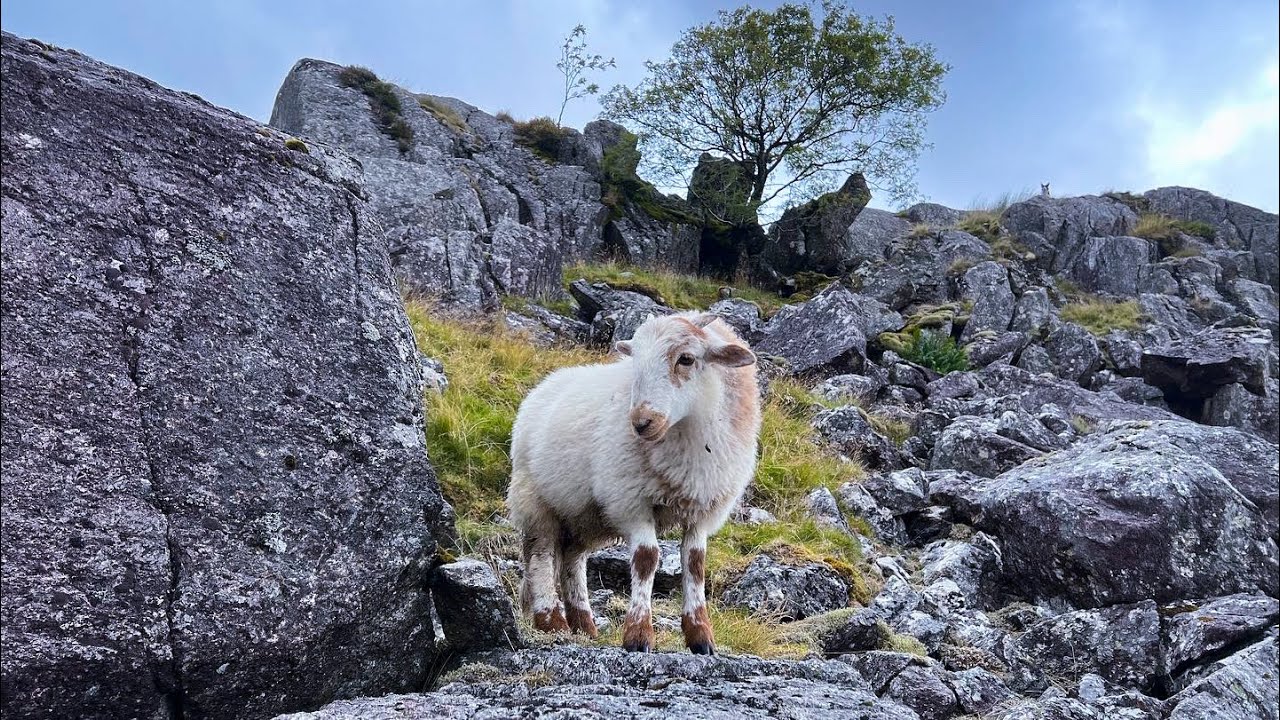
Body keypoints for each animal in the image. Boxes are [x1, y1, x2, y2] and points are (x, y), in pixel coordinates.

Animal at [506, 311, 761, 654]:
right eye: (636, 361)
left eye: (686, 359)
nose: (641, 422)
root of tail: (546, 384)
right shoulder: (631, 500)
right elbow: (646, 559)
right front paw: (638, 635)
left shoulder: (703, 509)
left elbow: (695, 564)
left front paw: (701, 636)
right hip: (535, 499)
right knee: (542, 555)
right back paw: (552, 621)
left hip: (584, 516)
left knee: (573, 560)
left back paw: (584, 624)